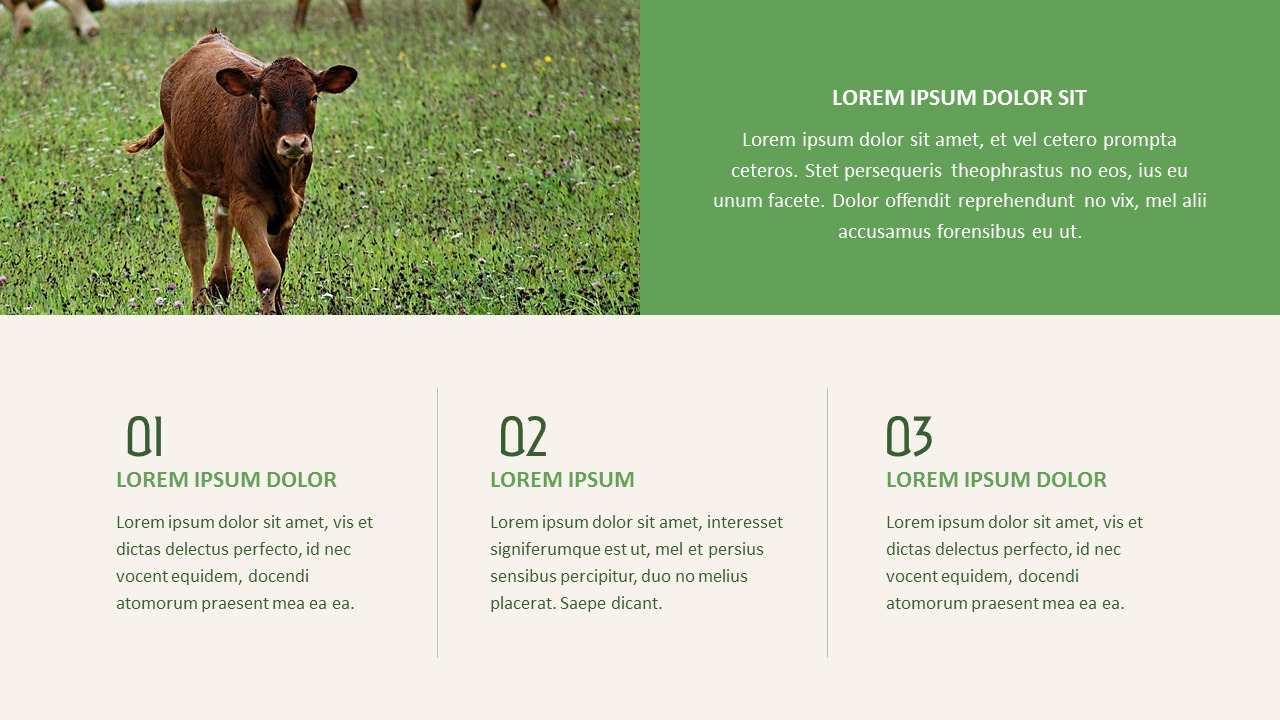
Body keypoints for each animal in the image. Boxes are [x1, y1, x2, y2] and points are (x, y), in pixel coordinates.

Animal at [125, 30, 357, 315]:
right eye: (265, 100)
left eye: (313, 97)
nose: (294, 143)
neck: (281, 177)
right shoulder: (247, 204)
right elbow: (268, 270)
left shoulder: (293, 204)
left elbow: (280, 263)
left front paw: (278, 308)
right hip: (177, 167)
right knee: (193, 236)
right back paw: (200, 300)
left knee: (221, 218)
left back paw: (219, 283)